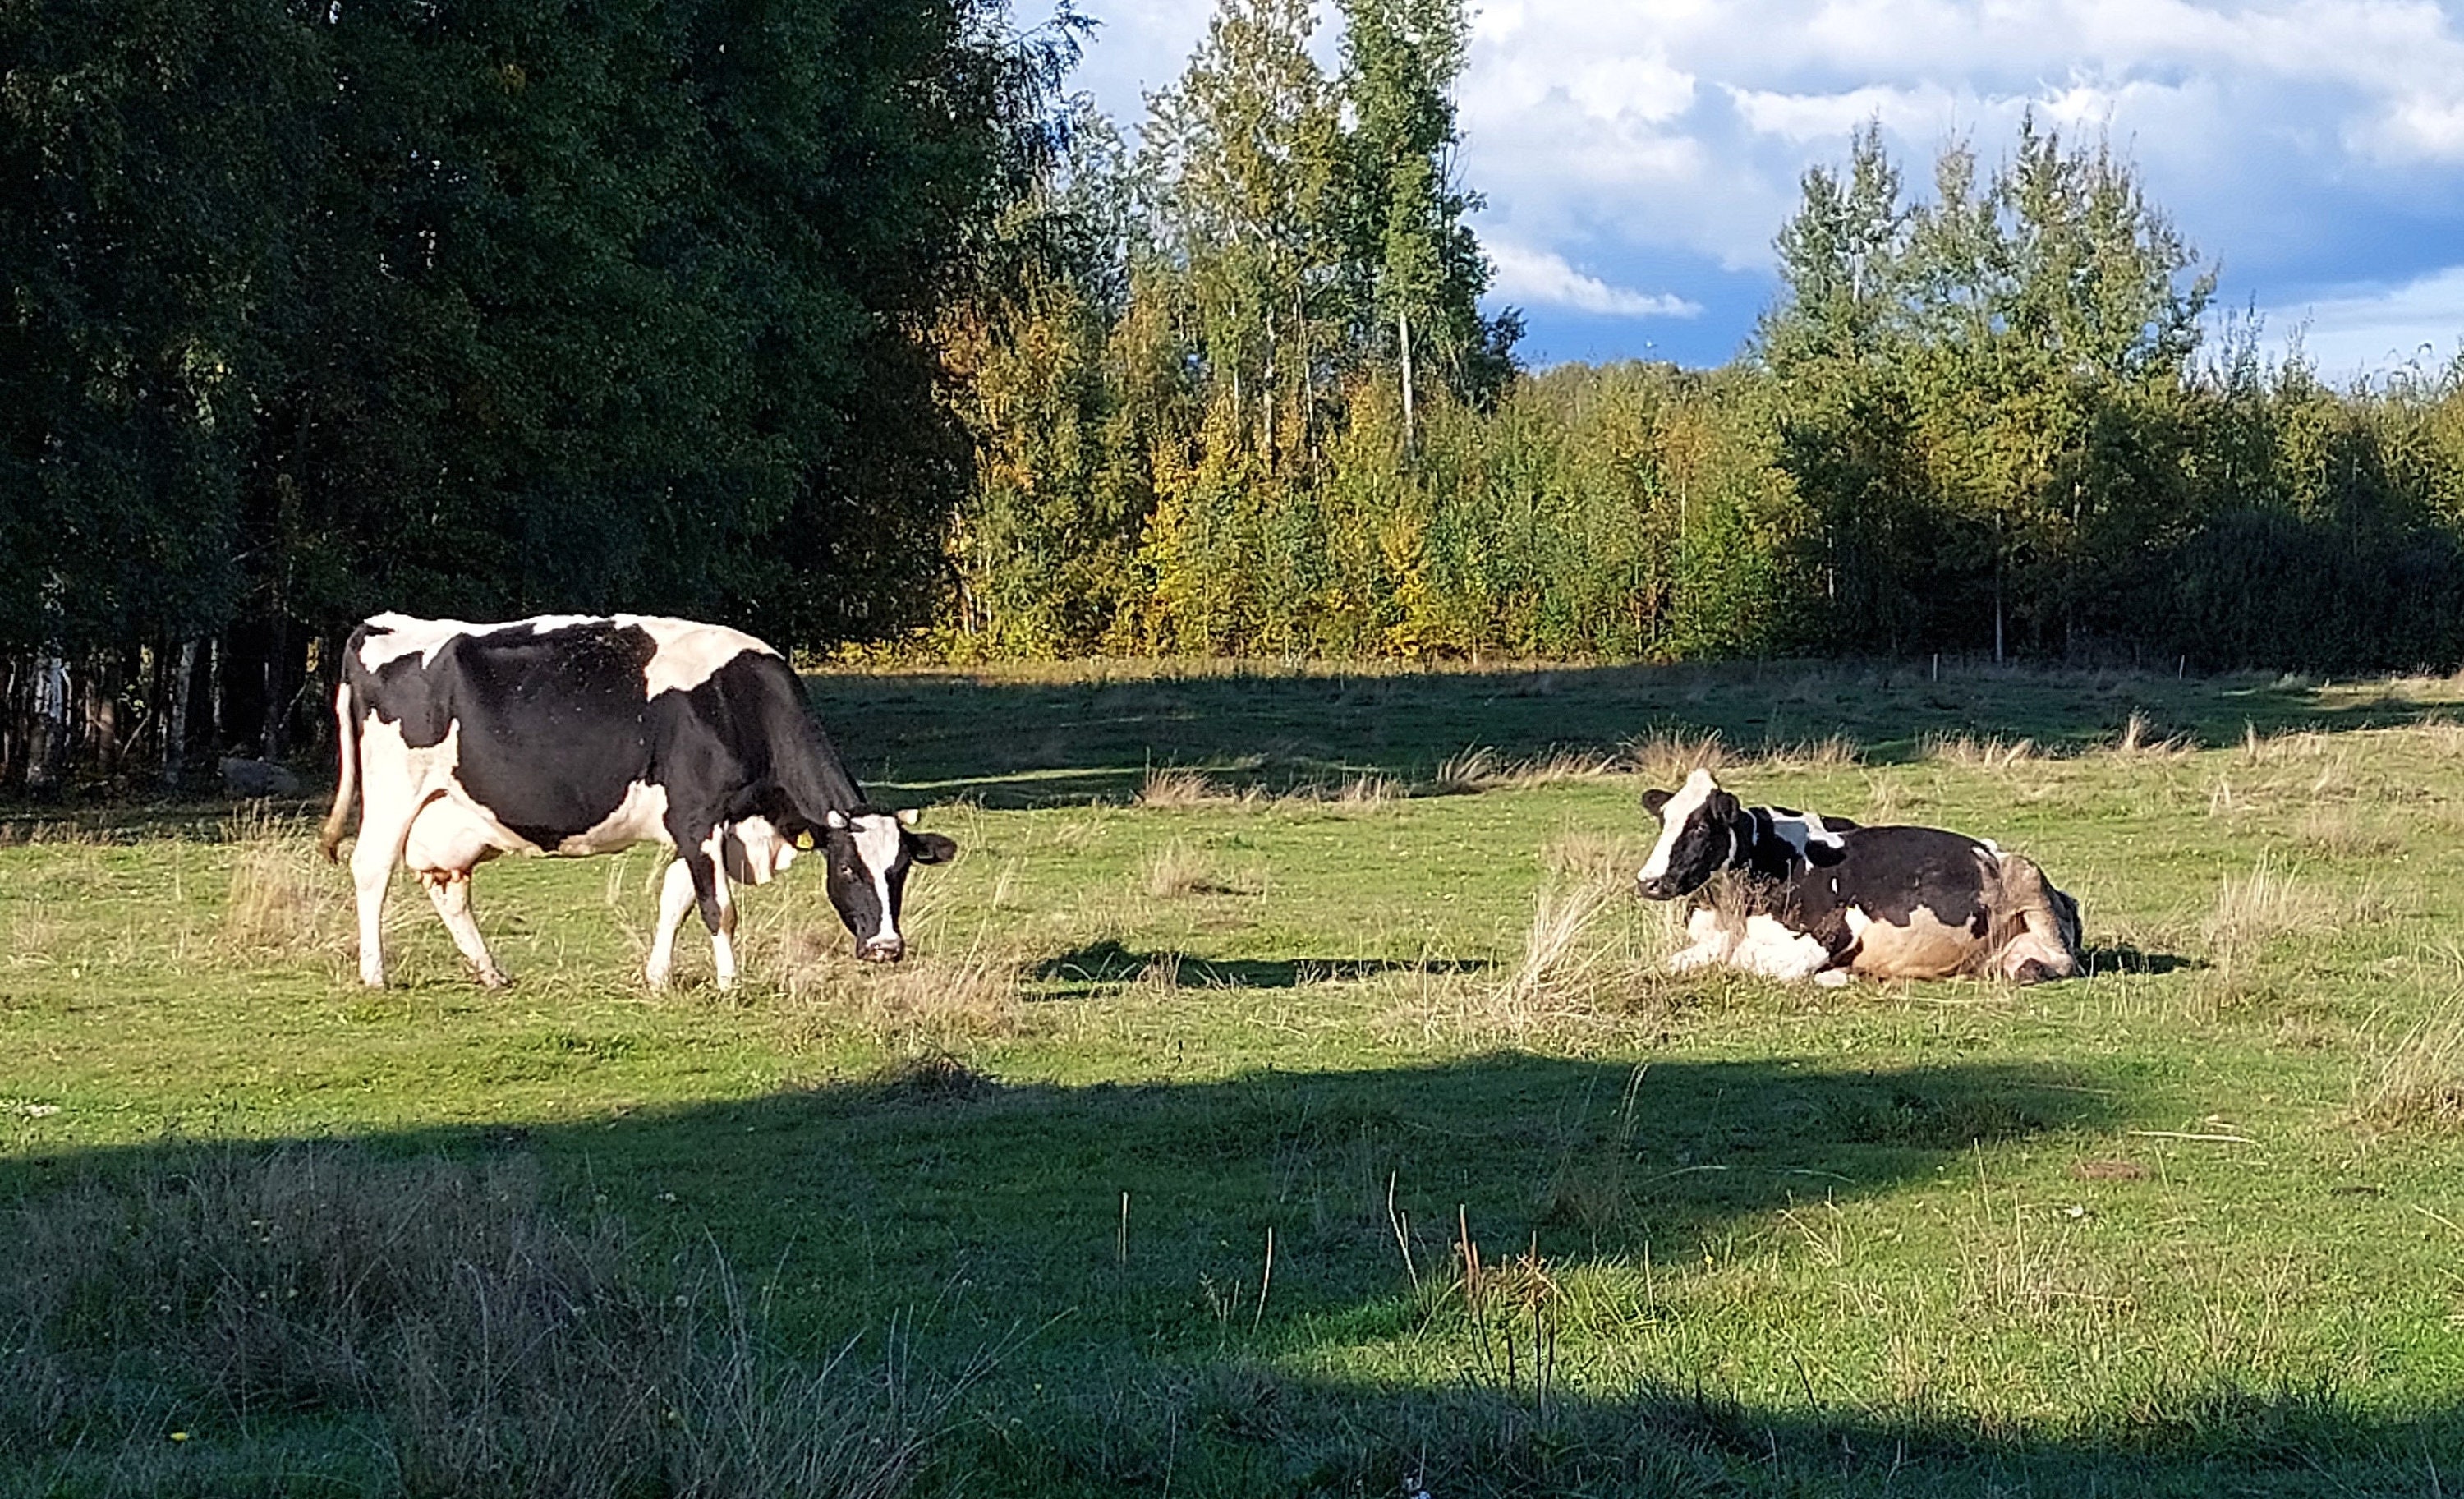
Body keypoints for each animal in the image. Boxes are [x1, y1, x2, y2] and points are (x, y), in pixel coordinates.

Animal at [316, 612, 955, 990]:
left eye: (900, 871)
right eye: (846, 868)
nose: (887, 948)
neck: (736, 703)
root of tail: (381, 624)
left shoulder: (701, 827)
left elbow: (676, 898)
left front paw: (658, 977)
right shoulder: (697, 815)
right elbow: (718, 906)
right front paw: (730, 984)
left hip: (450, 812)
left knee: (448, 887)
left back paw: (492, 972)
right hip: (395, 793)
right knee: (371, 868)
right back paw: (375, 975)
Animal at [1632, 767, 2081, 986]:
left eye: (1700, 828)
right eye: (1664, 821)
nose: (1648, 881)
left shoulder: (1831, 932)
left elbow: (1747, 958)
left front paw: (1836, 975)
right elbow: (1683, 959)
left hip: (2027, 875)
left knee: (2063, 962)